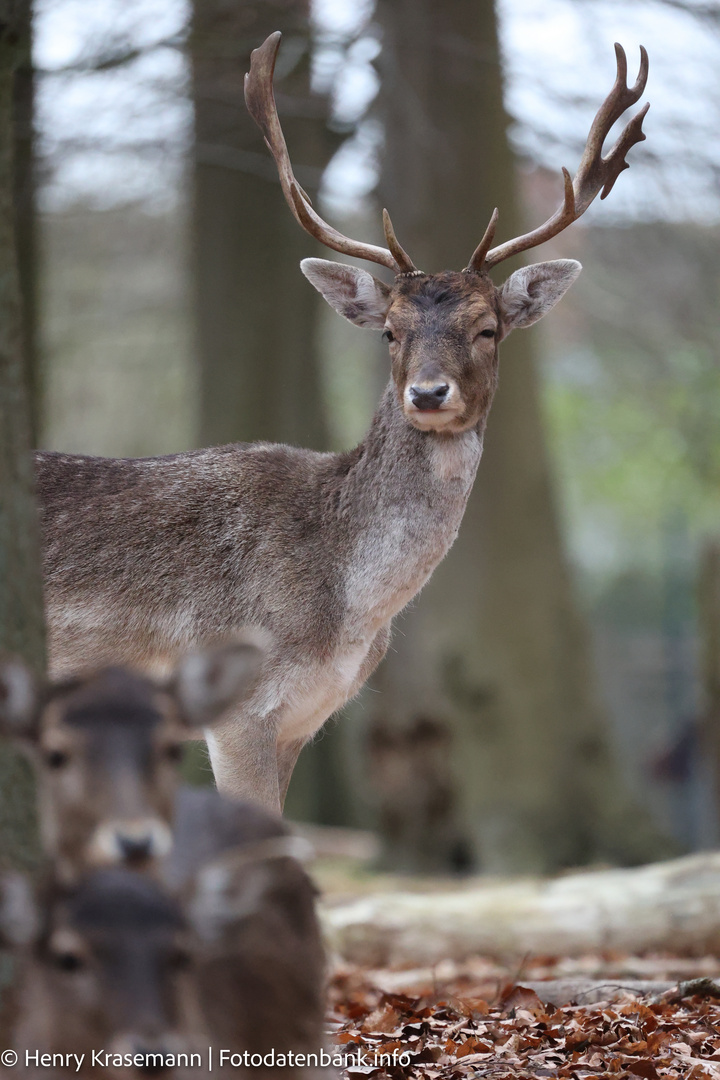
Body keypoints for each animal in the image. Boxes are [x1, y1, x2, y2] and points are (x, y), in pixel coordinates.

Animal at [36, 35, 651, 812]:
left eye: (488, 329)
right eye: (389, 331)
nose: (428, 392)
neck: (347, 613)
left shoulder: (307, 717)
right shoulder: (238, 711)